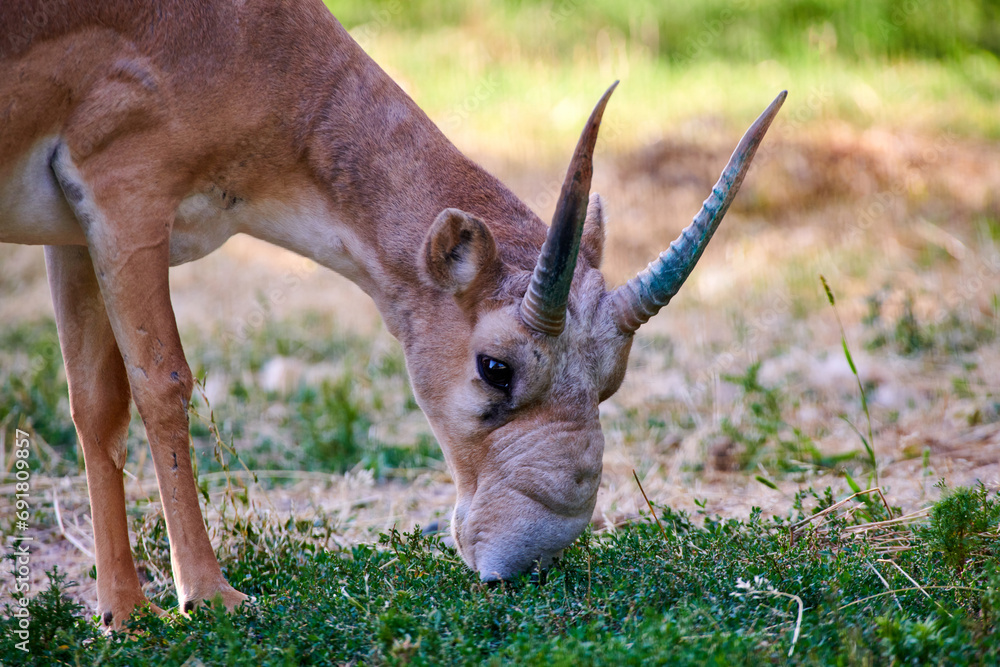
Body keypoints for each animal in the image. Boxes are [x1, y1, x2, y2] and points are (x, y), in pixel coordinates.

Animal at [0, 0, 785, 628]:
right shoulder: (124, 199)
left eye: (612, 377)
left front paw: (124, 614)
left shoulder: (74, 234)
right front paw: (208, 596)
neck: (246, 38)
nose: (530, 560)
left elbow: (95, 404)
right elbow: (163, 382)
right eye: (495, 366)